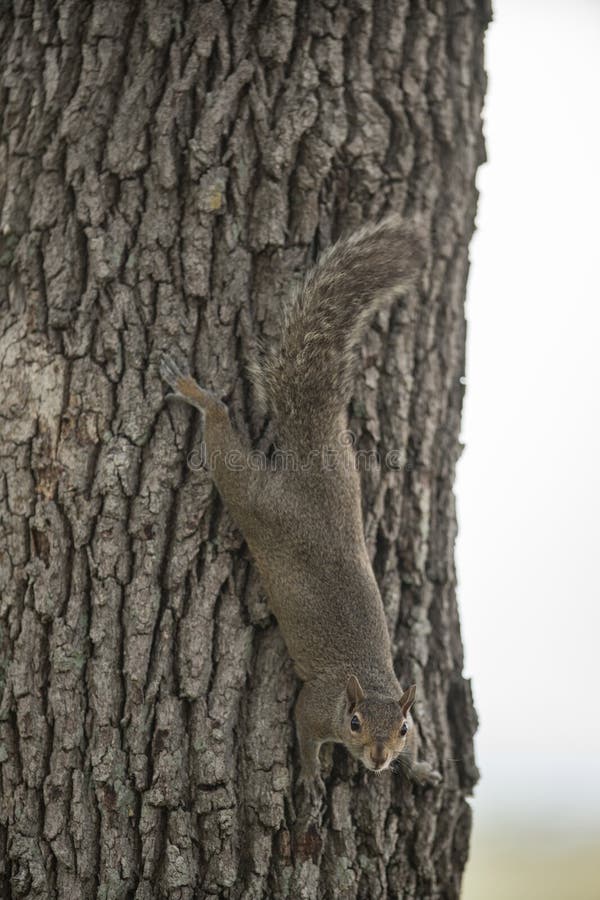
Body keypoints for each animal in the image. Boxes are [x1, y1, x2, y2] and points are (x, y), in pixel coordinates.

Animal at [160, 215, 441, 793]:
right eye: (354, 722)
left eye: (404, 728)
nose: (378, 758)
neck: (367, 682)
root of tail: (311, 450)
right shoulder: (314, 706)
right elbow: (304, 734)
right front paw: (311, 775)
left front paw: (421, 769)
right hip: (254, 499)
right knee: (223, 433)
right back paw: (197, 392)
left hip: (344, 474)